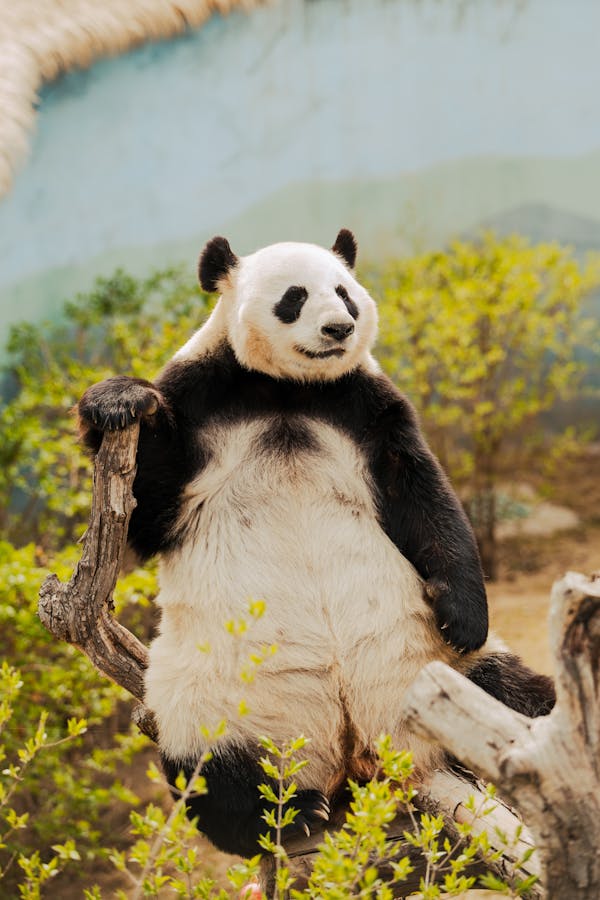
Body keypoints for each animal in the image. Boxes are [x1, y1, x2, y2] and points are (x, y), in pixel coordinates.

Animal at [78, 230, 555, 858]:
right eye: (295, 297)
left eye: (345, 292)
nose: (339, 329)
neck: (288, 391)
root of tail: (357, 756)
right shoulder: (201, 400)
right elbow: (147, 506)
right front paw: (117, 400)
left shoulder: (365, 407)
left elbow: (422, 497)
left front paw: (463, 615)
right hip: (208, 698)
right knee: (207, 768)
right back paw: (284, 814)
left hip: (438, 671)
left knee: (516, 692)